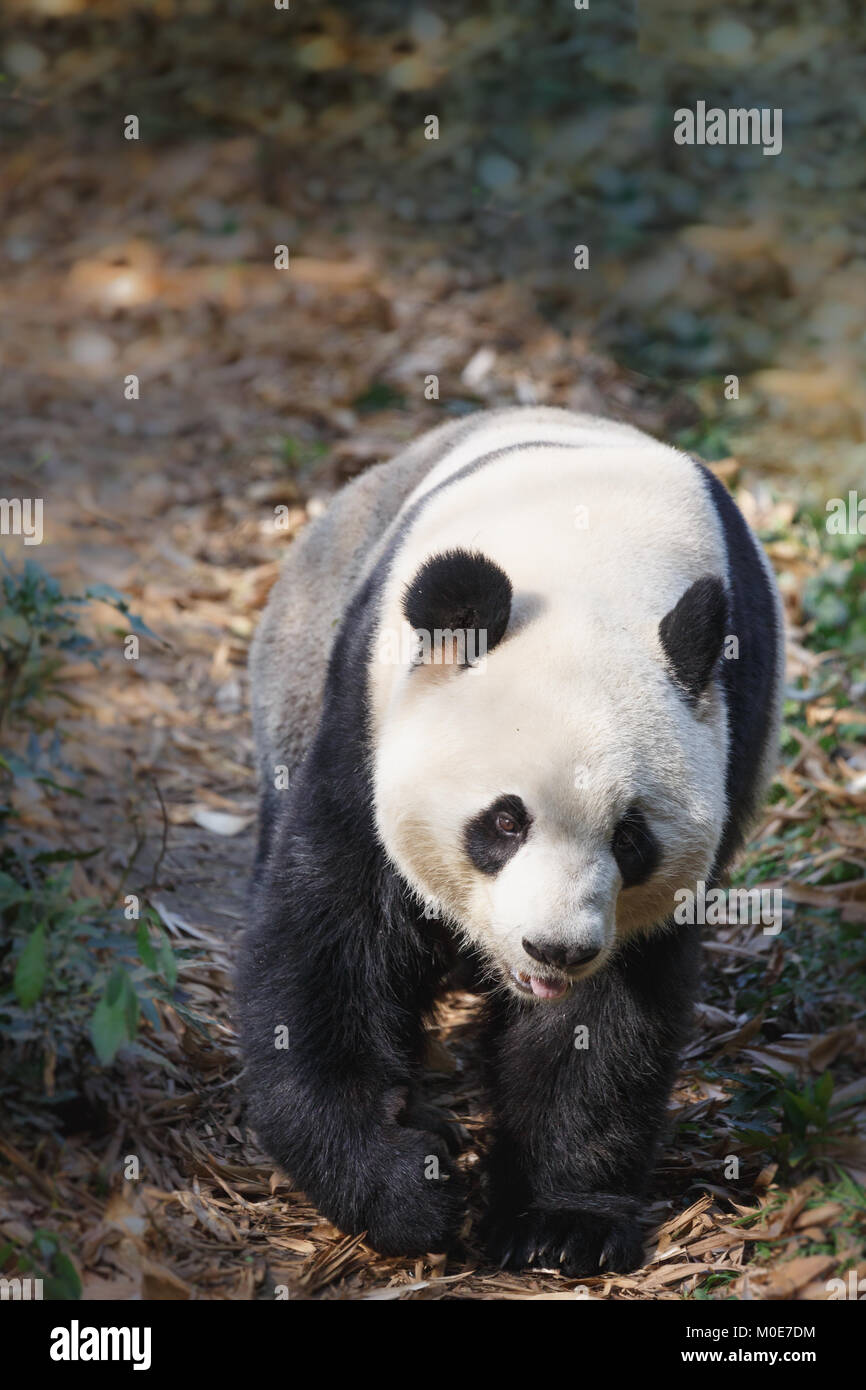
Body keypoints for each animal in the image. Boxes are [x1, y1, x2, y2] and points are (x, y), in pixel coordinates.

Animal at [237, 406, 784, 1275]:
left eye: (631, 839)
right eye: (504, 821)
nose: (554, 950)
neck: (588, 556)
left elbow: (606, 1020)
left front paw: (559, 1223)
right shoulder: (369, 713)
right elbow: (329, 936)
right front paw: (404, 1182)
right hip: (298, 656)